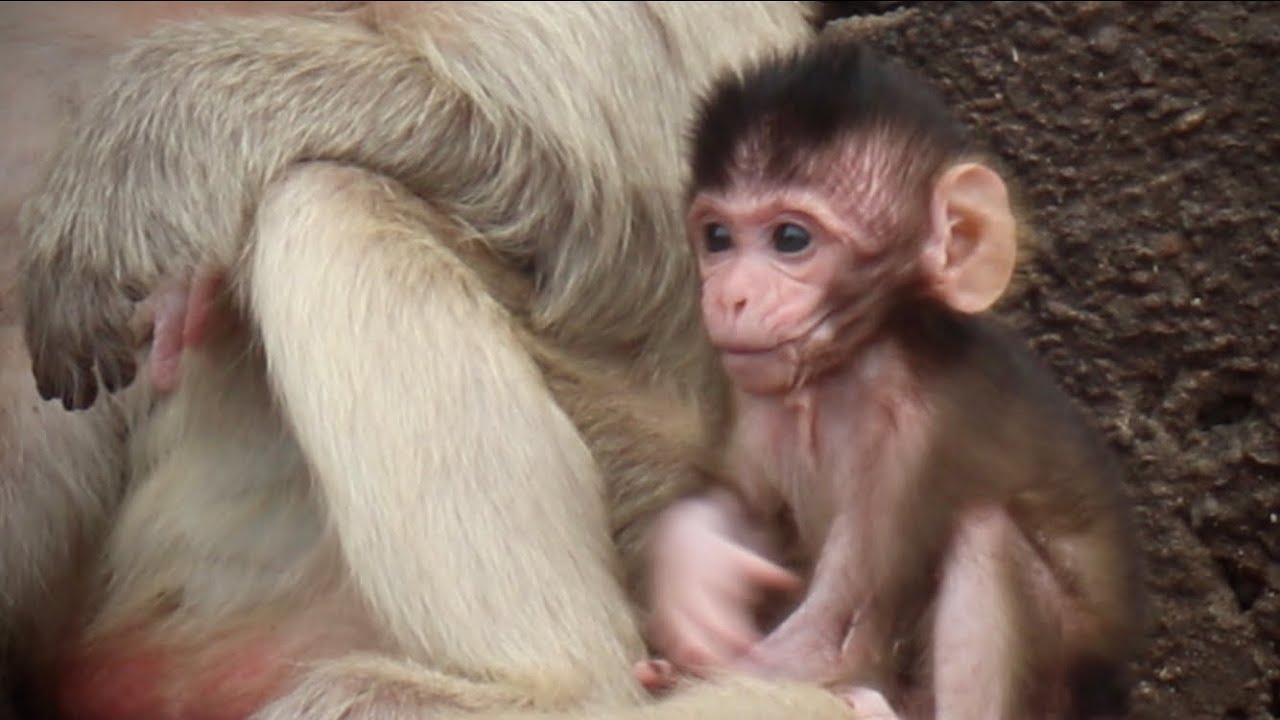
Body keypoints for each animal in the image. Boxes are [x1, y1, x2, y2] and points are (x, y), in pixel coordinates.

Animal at [633, 40, 1147, 719]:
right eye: (718, 238)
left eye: (790, 239)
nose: (730, 295)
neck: (847, 369)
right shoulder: (759, 401)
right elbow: (743, 506)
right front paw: (693, 575)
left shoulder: (922, 430)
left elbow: (835, 635)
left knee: (984, 535)